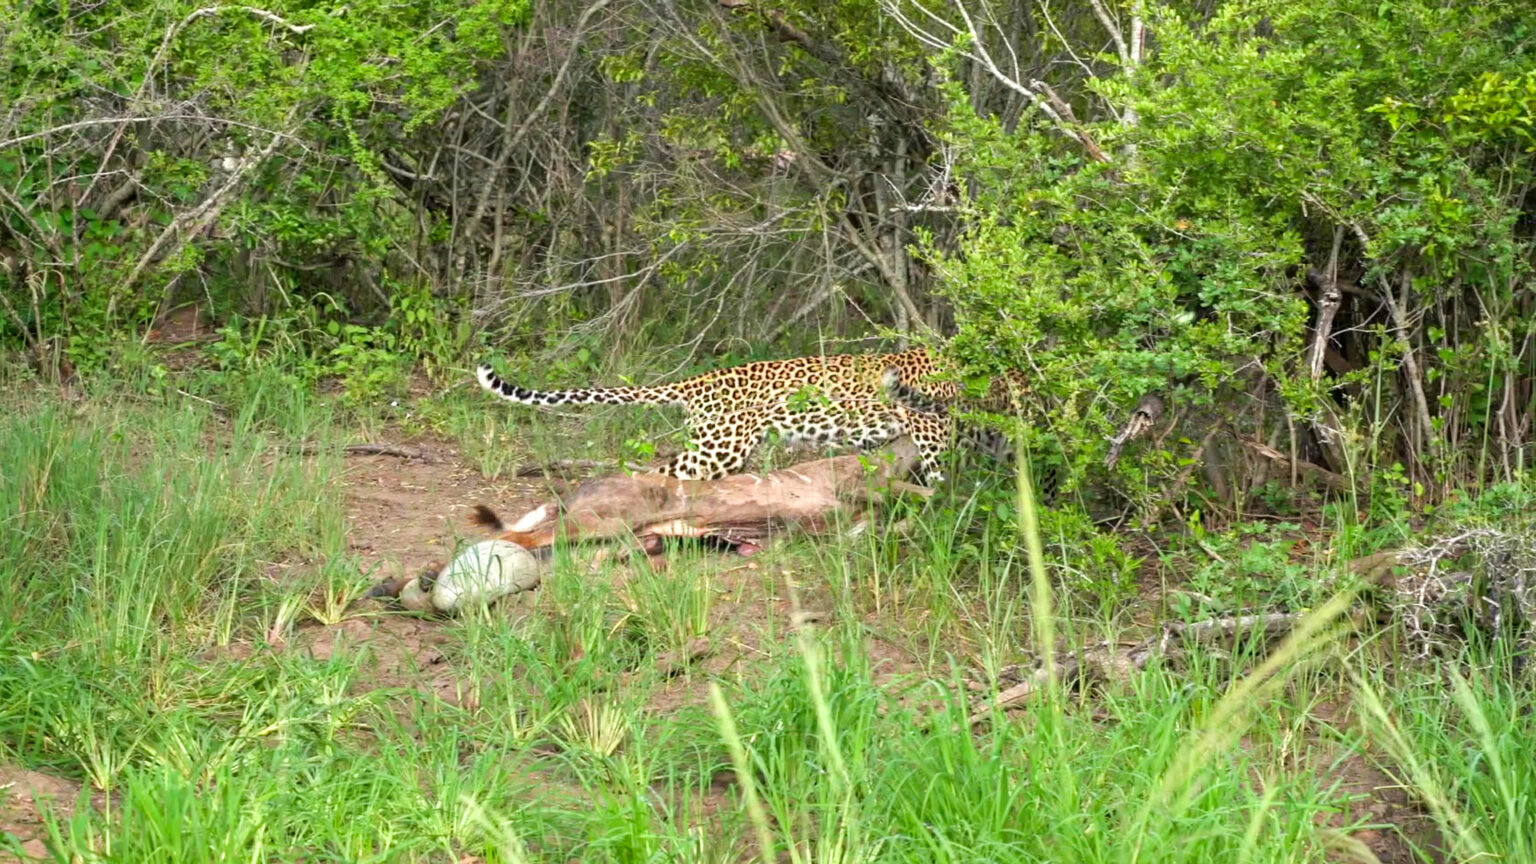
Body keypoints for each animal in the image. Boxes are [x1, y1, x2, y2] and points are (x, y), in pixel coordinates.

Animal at [475, 348, 969, 484]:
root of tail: (700, 380)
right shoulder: (933, 432)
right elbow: (944, 477)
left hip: (714, 446)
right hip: (719, 449)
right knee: (663, 474)